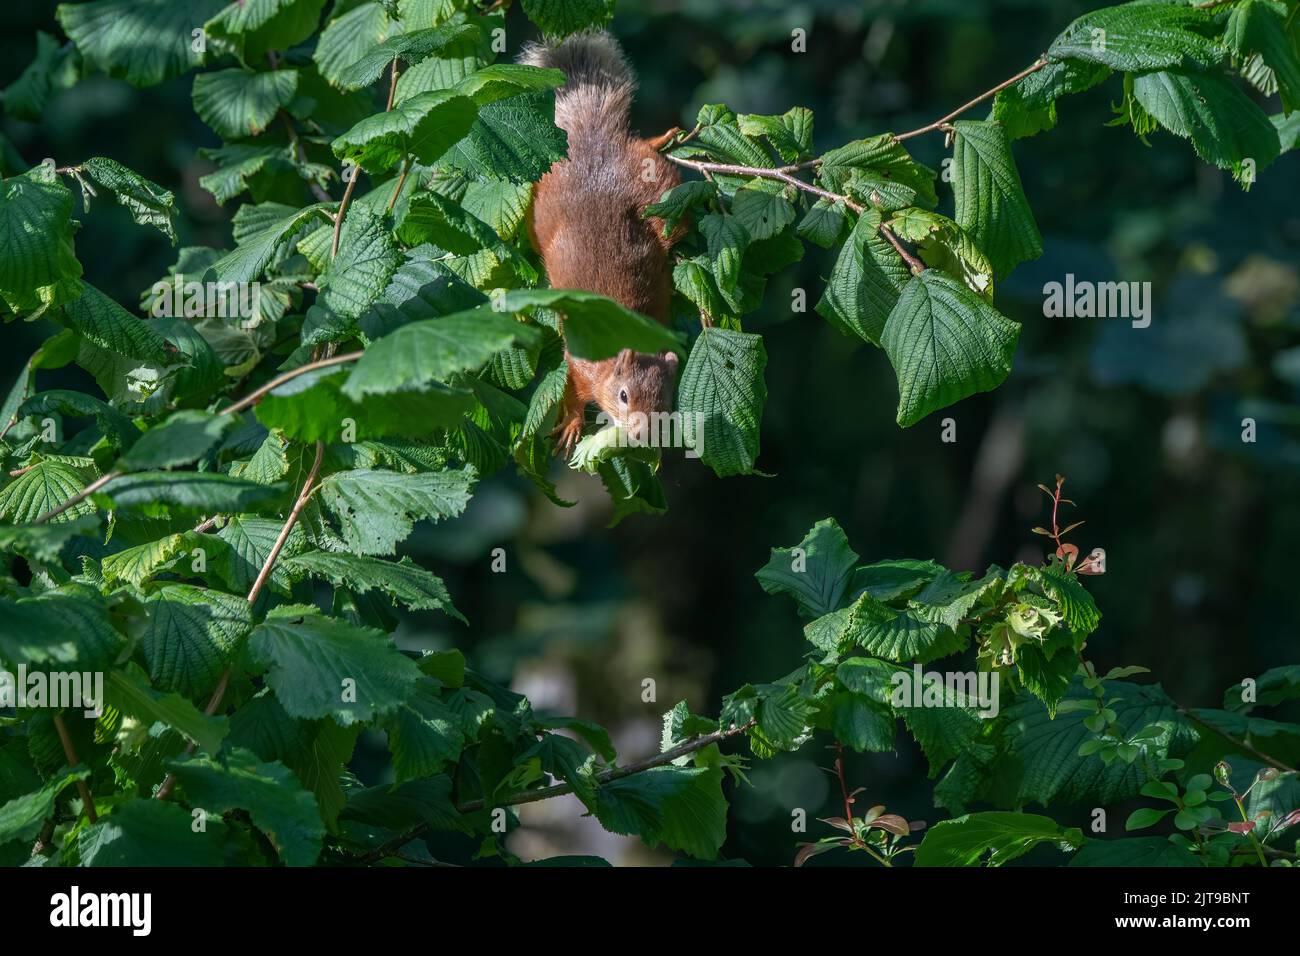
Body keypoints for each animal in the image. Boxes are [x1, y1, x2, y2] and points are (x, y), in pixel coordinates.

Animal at [521, 31, 682, 458]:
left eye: (667, 400)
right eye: (624, 396)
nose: (645, 435)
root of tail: (592, 145)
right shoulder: (580, 360)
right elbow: (573, 390)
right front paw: (572, 424)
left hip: (656, 188)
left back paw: (661, 138)